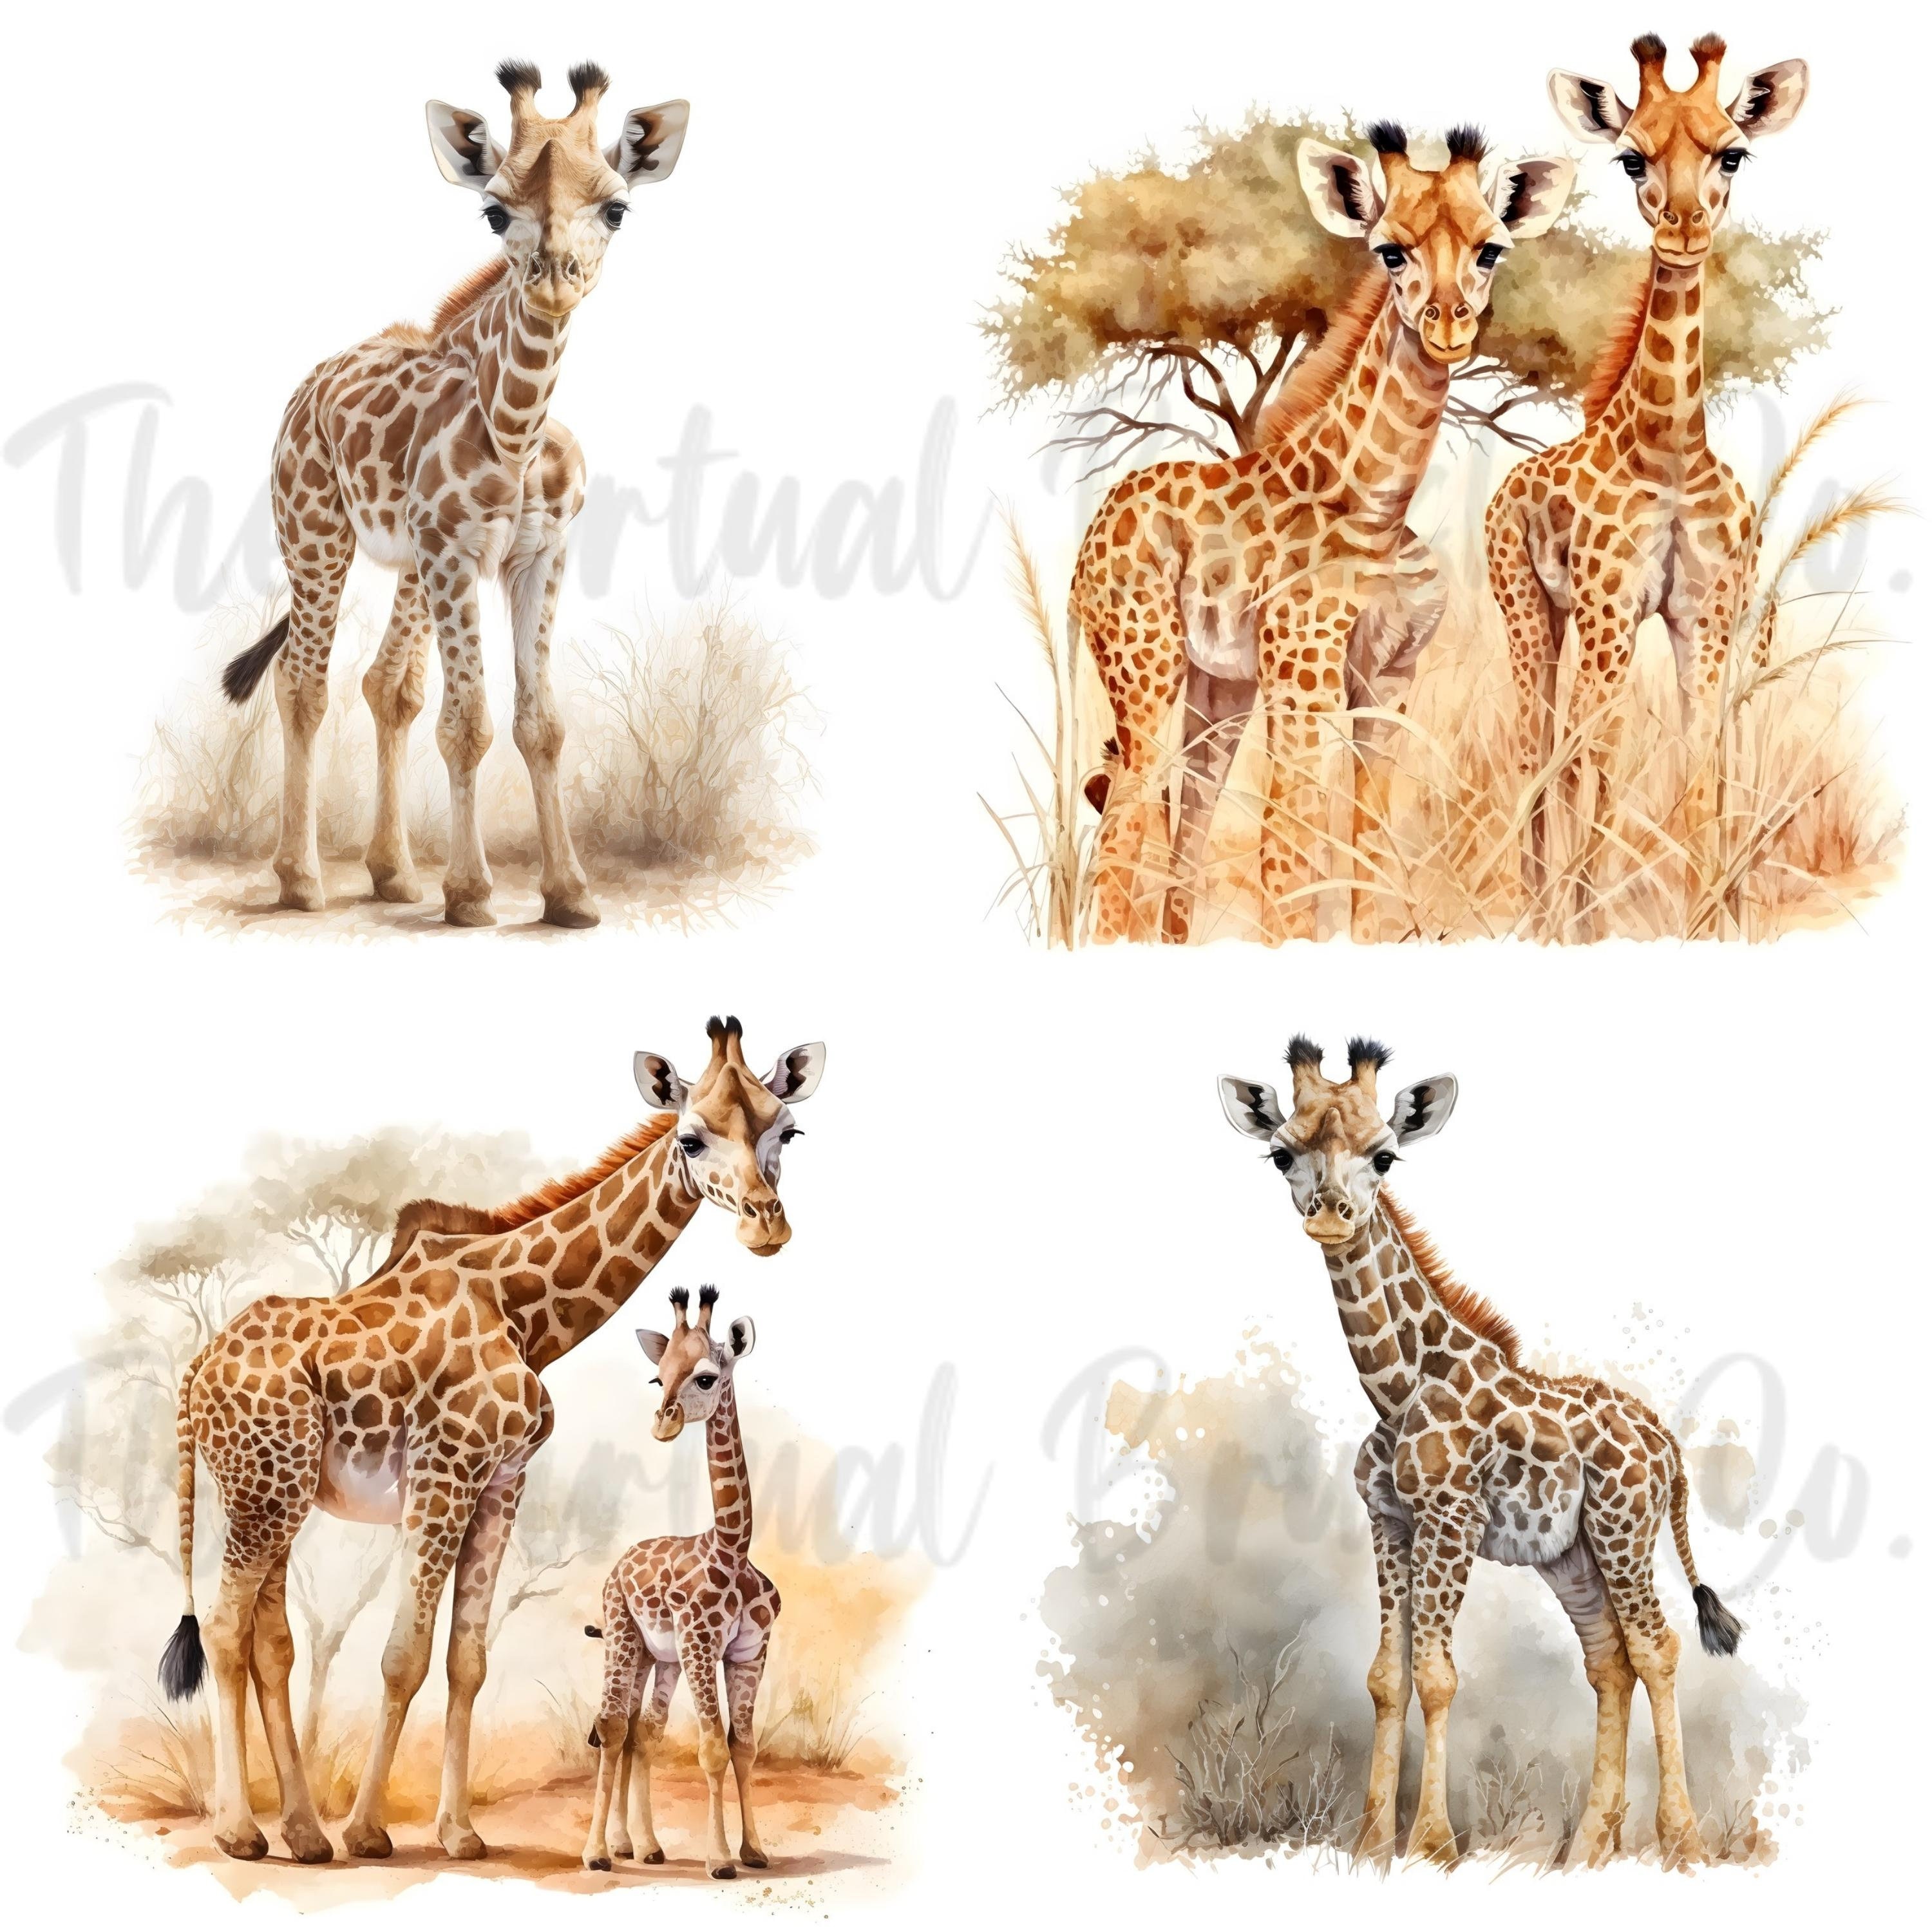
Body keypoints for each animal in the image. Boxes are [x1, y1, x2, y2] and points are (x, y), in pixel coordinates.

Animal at [219, 61, 689, 928]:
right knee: (303, 682)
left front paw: (570, 894)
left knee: (385, 685)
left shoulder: (539, 556)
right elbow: (468, 722)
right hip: (316, 538)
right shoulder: (453, 553)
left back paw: (393, 873)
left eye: (616, 208)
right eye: (495, 210)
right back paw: (301, 881)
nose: (554, 279)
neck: (518, 431)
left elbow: (541, 726)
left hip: (407, 567)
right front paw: (471, 894)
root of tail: (309, 387)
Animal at [580, 1286, 780, 1878]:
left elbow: (743, 1747)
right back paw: (597, 1853)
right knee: (611, 1726)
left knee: (639, 1731)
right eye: (658, 1376)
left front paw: (755, 1851)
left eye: (707, 1377)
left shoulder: (749, 1652)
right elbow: (712, 1748)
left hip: (656, 1657)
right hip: (623, 1636)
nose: (662, 1424)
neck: (731, 1549)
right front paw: (720, 1860)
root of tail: (619, 1564)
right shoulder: (700, 1643)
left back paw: (640, 1845)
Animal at [1071, 125, 1574, 945]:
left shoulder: (1387, 684)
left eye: (1490, 249)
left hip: (1219, 688)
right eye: (1391, 250)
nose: (1449, 325)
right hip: (1145, 666)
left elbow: (1364, 845)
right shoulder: (1303, 673)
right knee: (1127, 820)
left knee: (1186, 819)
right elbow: (1289, 845)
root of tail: (1095, 533)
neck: (1374, 506)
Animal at [1219, 1036, 1741, 1868]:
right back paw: (1586, 1848)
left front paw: (1431, 1846)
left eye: (1385, 1155)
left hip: (1625, 1531)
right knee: (1609, 1659)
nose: (1330, 1217)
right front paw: (1370, 1843)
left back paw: (1682, 1841)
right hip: (1573, 1554)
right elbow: (1387, 1678)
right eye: (1281, 1153)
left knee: (1656, 1647)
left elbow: (1437, 1677)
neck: (1398, 1388)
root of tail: (1666, 1444)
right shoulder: (1391, 1524)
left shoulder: (1451, 1521)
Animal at [1486, 35, 1809, 937]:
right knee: (1538, 743)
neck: (1667, 452)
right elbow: (1601, 750)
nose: (1684, 229)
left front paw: (1710, 920)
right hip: (1530, 610)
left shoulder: (1706, 619)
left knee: (1559, 748)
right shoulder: (1611, 609)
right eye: (1631, 157)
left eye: (1732, 153)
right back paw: (1537, 911)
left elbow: (1701, 759)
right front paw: (1589, 926)